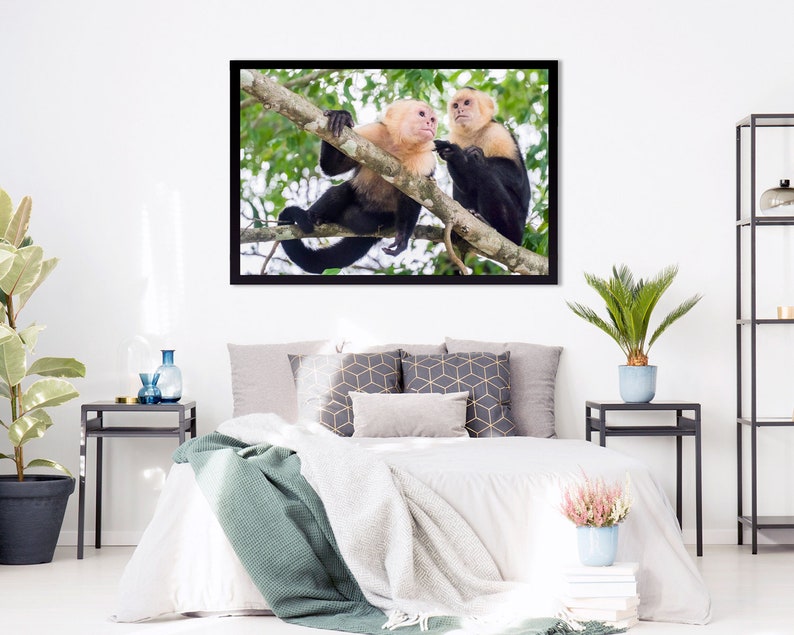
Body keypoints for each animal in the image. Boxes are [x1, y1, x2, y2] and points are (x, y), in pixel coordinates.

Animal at [277, 100, 438, 274]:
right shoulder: (373, 133)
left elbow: (415, 198)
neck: (400, 146)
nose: (430, 123)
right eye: (422, 114)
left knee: (359, 219)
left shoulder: (426, 161)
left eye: (432, 119)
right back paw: (316, 217)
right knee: (341, 192)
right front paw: (341, 117)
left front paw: (403, 237)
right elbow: (332, 168)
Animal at [433, 87, 531, 246]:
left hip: (517, 230)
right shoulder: (455, 136)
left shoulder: (497, 132)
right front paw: (454, 155)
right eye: (455, 105)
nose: (459, 109)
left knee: (485, 175)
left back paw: (495, 227)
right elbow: (465, 184)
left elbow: (518, 177)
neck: (474, 132)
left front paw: (477, 156)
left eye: (467, 103)